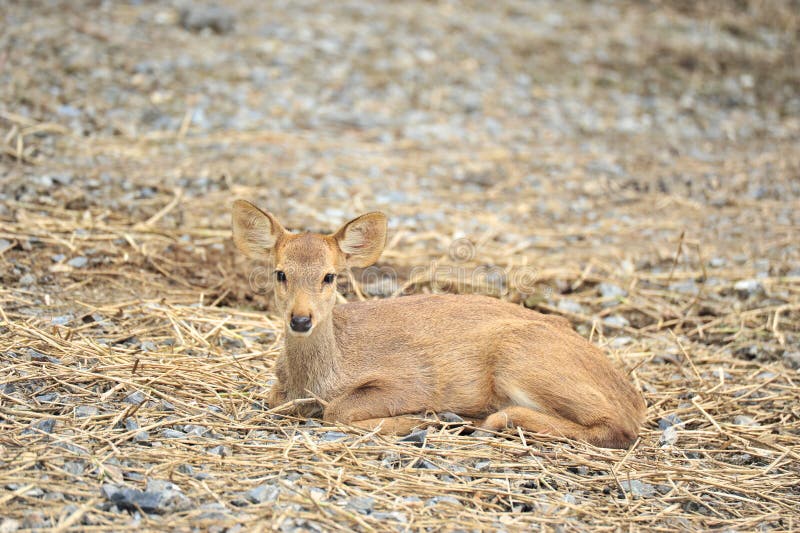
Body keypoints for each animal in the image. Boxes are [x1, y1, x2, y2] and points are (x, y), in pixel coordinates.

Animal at [232, 200, 646, 449]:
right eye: (280, 273)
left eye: (330, 276)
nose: (301, 319)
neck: (319, 377)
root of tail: (634, 398)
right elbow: (275, 399)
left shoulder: (409, 379)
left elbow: (338, 412)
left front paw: (417, 420)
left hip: (523, 358)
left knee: (616, 427)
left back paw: (484, 419)